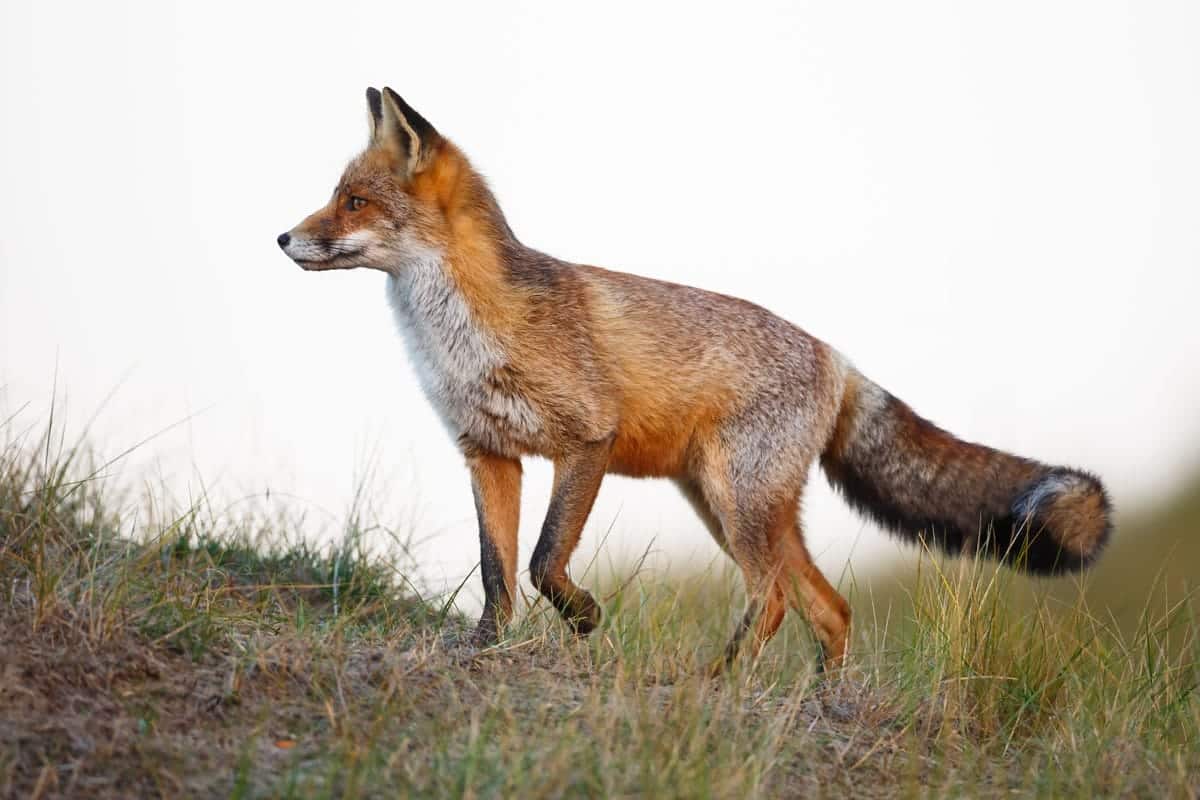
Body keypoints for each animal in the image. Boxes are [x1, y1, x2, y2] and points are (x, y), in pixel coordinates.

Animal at [278, 87, 1112, 673]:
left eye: (353, 202)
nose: (282, 237)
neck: (465, 332)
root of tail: (836, 356)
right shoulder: (488, 453)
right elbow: (496, 574)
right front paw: (482, 652)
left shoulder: (588, 441)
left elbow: (544, 560)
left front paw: (584, 619)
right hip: (730, 507)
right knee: (830, 609)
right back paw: (809, 704)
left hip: (736, 504)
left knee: (774, 601)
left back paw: (716, 686)